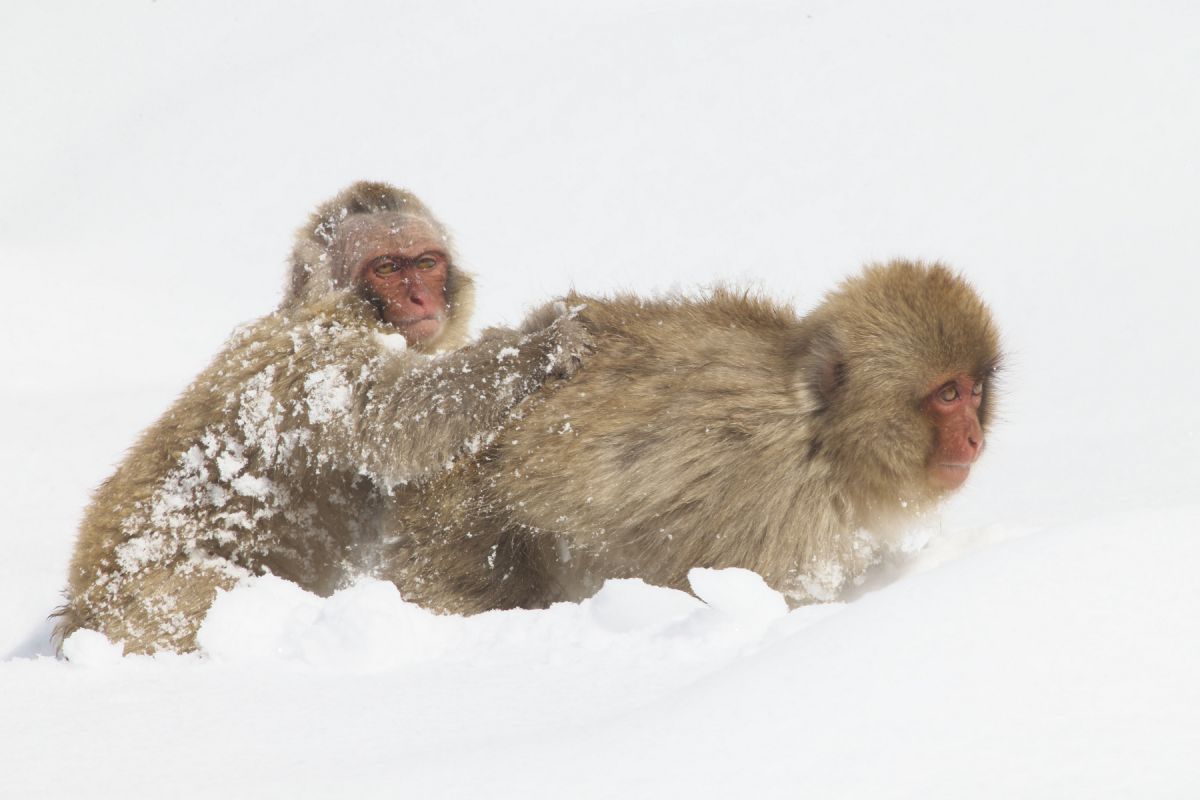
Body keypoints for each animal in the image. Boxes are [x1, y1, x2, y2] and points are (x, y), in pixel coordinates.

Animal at [54, 181, 591, 654]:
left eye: (425, 262)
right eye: (387, 267)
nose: (421, 298)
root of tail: (79, 610)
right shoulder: (317, 356)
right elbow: (392, 412)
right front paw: (542, 344)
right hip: (148, 607)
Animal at [374, 260, 1001, 612]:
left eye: (974, 391)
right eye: (947, 395)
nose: (974, 439)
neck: (821, 432)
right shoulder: (777, 510)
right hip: (460, 522)